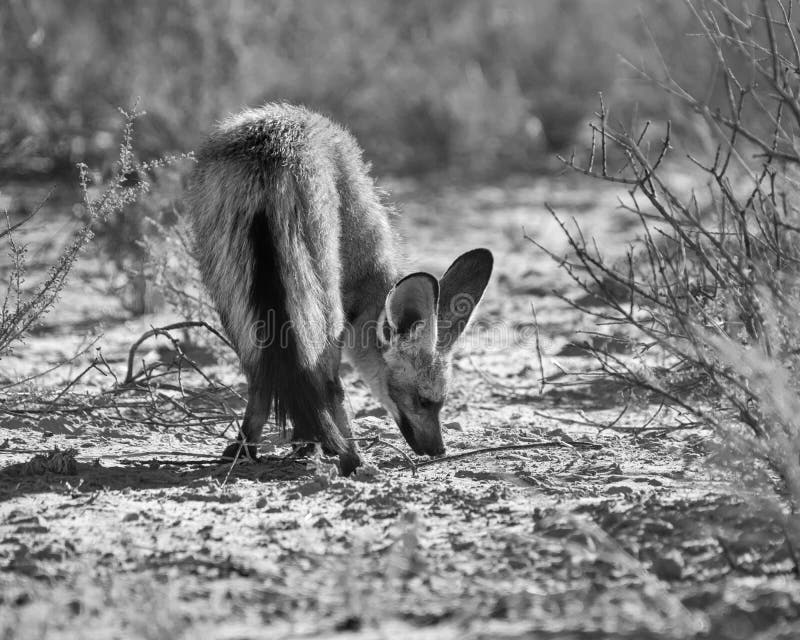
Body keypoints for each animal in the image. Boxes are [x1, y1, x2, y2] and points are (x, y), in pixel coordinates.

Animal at [186, 103, 493, 475]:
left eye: (441, 403)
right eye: (425, 402)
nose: (438, 450)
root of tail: (270, 152)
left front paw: (298, 444)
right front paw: (317, 446)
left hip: (231, 297)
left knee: (260, 376)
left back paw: (246, 449)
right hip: (323, 303)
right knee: (328, 384)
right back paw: (352, 459)